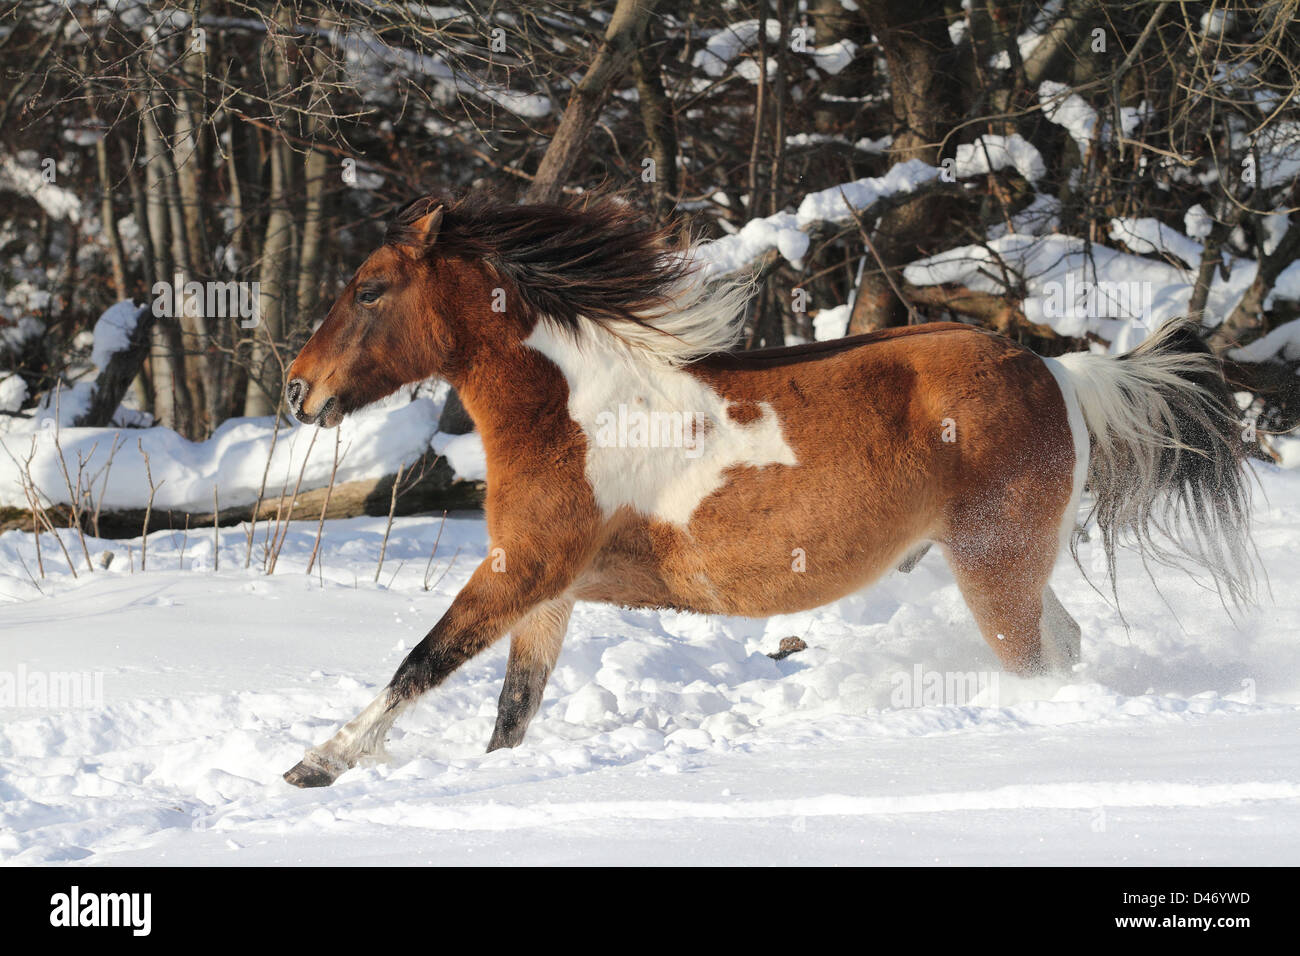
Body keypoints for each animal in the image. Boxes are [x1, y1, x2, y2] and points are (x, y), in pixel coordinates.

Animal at [281, 191, 1255, 788]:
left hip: (996, 566)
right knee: (1069, 641)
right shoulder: (547, 593)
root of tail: (1060, 371)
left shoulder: (520, 569)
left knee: (1038, 664)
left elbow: (420, 662)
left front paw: (315, 766)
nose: (297, 389)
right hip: (1013, 562)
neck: (571, 409)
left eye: (369, 289)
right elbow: (510, 716)